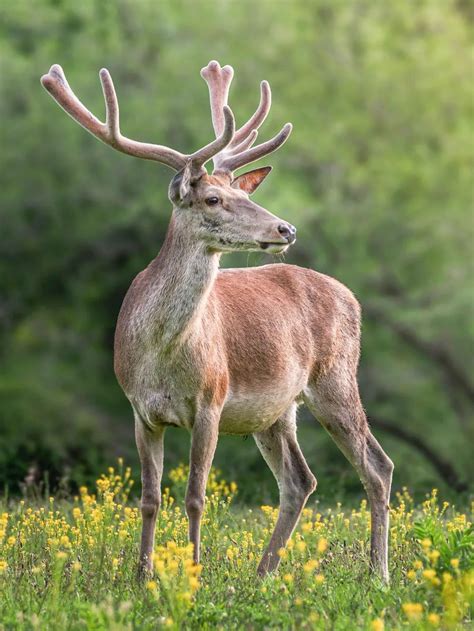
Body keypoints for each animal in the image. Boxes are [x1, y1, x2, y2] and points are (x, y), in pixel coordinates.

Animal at [42, 59, 394, 584]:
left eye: (236, 193)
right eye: (211, 199)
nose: (285, 228)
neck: (161, 354)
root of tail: (350, 296)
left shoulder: (211, 399)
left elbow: (195, 496)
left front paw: (192, 575)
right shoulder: (139, 410)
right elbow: (149, 498)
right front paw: (142, 577)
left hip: (335, 377)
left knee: (377, 465)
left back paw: (378, 574)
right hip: (275, 411)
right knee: (300, 480)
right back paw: (263, 575)